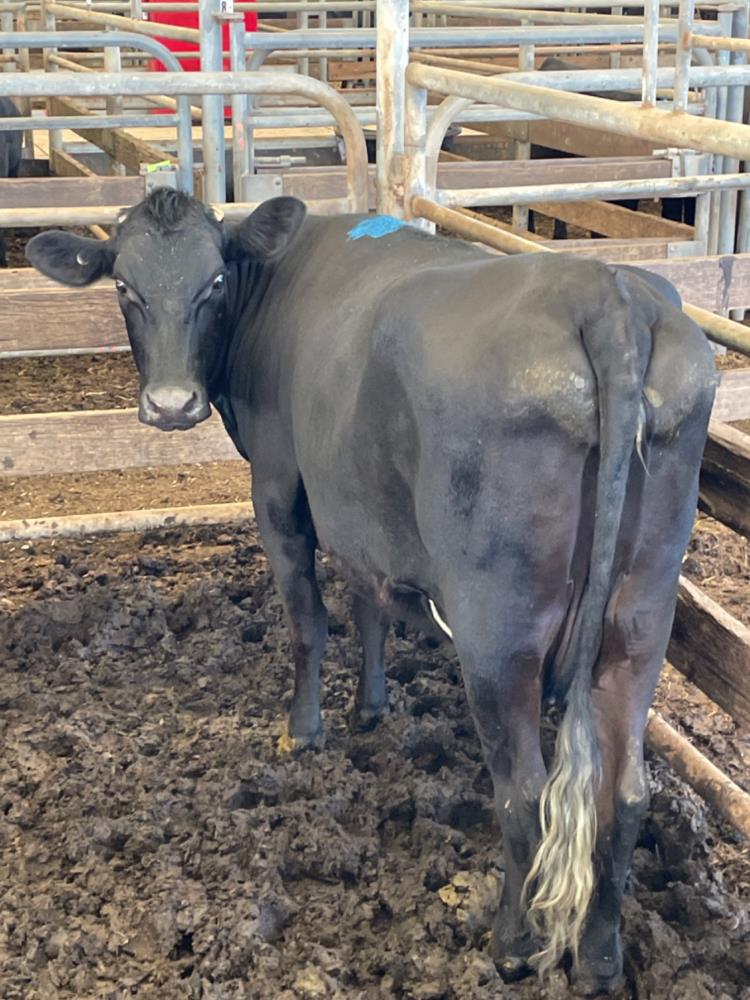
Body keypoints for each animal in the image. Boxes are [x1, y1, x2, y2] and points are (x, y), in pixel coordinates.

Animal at [26, 190, 716, 995]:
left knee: (523, 794)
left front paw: (304, 729)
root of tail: (603, 291)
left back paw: (512, 945)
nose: (171, 405)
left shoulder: (279, 487)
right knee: (625, 793)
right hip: (640, 620)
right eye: (125, 288)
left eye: (214, 283)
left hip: (499, 627)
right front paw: (372, 707)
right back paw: (602, 959)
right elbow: (368, 606)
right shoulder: (359, 513)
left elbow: (309, 618)